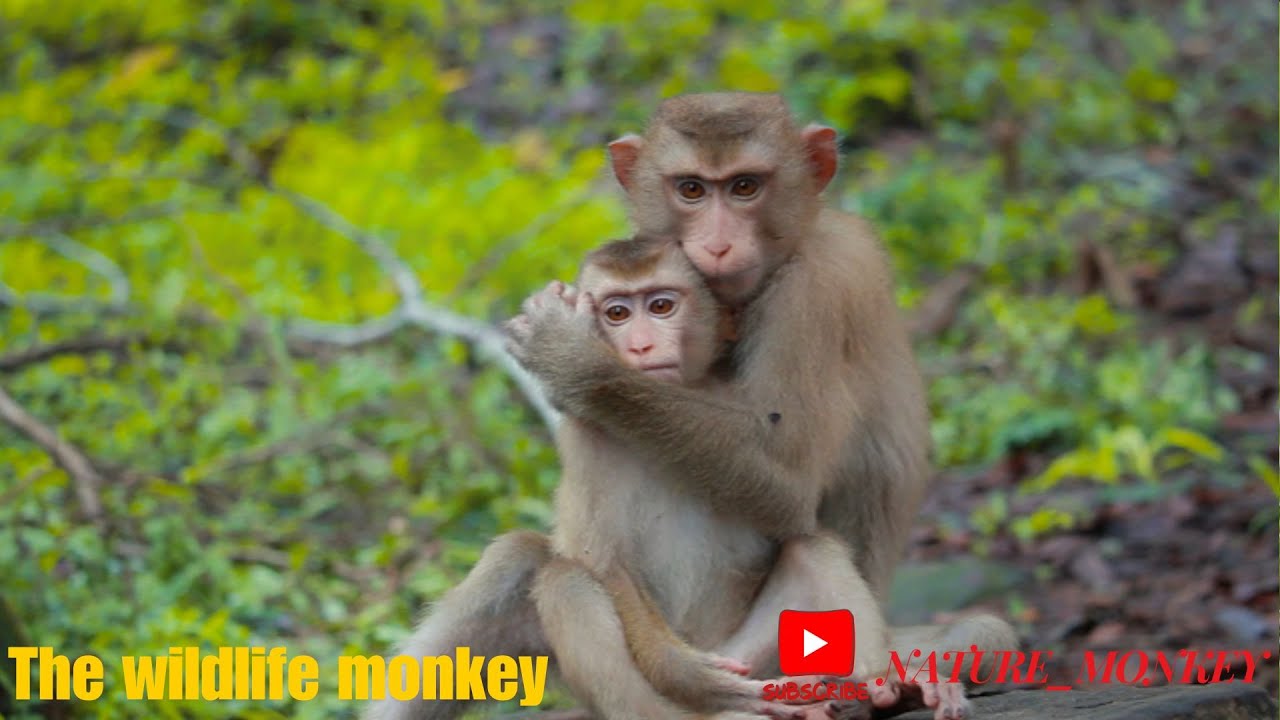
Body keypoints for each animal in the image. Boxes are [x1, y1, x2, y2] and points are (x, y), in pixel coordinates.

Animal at [506, 92, 1018, 719]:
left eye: (745, 187)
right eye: (692, 189)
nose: (718, 244)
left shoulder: (813, 291)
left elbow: (789, 485)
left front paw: (572, 357)